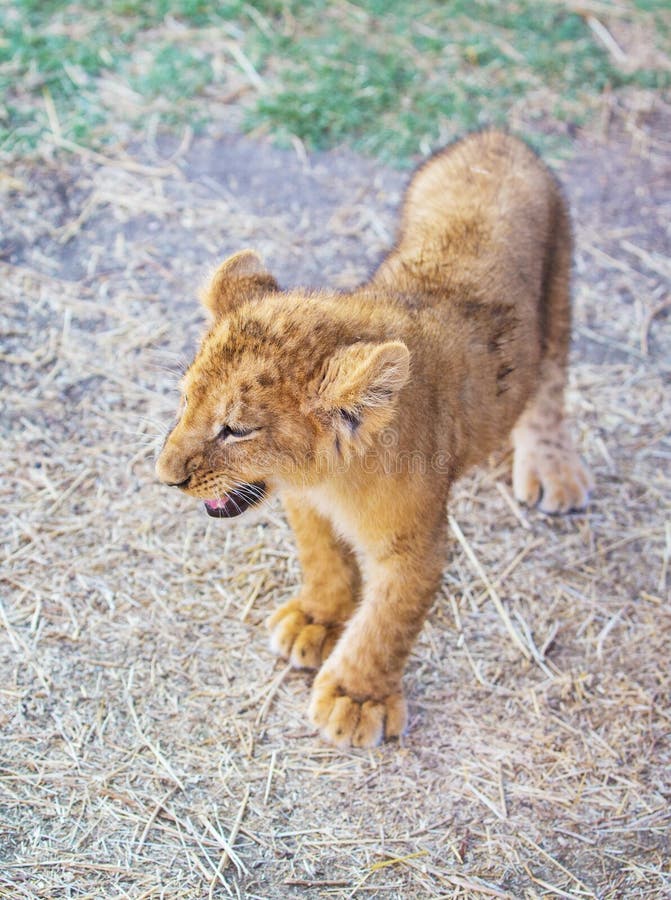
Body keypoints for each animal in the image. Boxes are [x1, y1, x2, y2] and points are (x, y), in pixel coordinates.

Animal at [155, 130, 592, 748]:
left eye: (236, 429)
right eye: (184, 401)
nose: (165, 478)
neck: (329, 479)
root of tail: (496, 136)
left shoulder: (414, 545)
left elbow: (387, 621)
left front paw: (356, 698)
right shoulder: (304, 503)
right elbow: (323, 560)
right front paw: (316, 620)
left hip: (558, 288)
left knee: (550, 382)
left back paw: (552, 470)